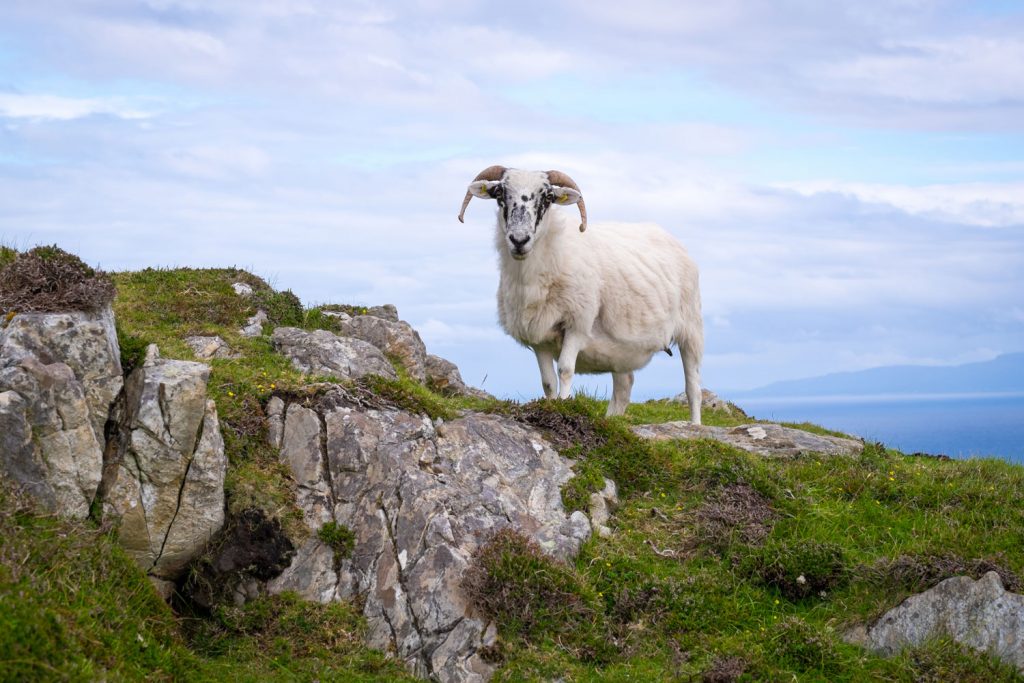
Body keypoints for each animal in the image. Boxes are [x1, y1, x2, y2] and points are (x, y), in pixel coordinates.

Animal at [458, 165, 704, 422]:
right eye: (499, 194)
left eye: (547, 197)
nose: (519, 239)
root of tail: (671, 238)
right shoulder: (538, 337)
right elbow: (547, 382)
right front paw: (550, 406)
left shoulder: (577, 323)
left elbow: (565, 370)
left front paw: (564, 406)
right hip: (623, 349)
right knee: (624, 387)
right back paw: (611, 421)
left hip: (691, 328)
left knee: (693, 388)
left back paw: (695, 425)